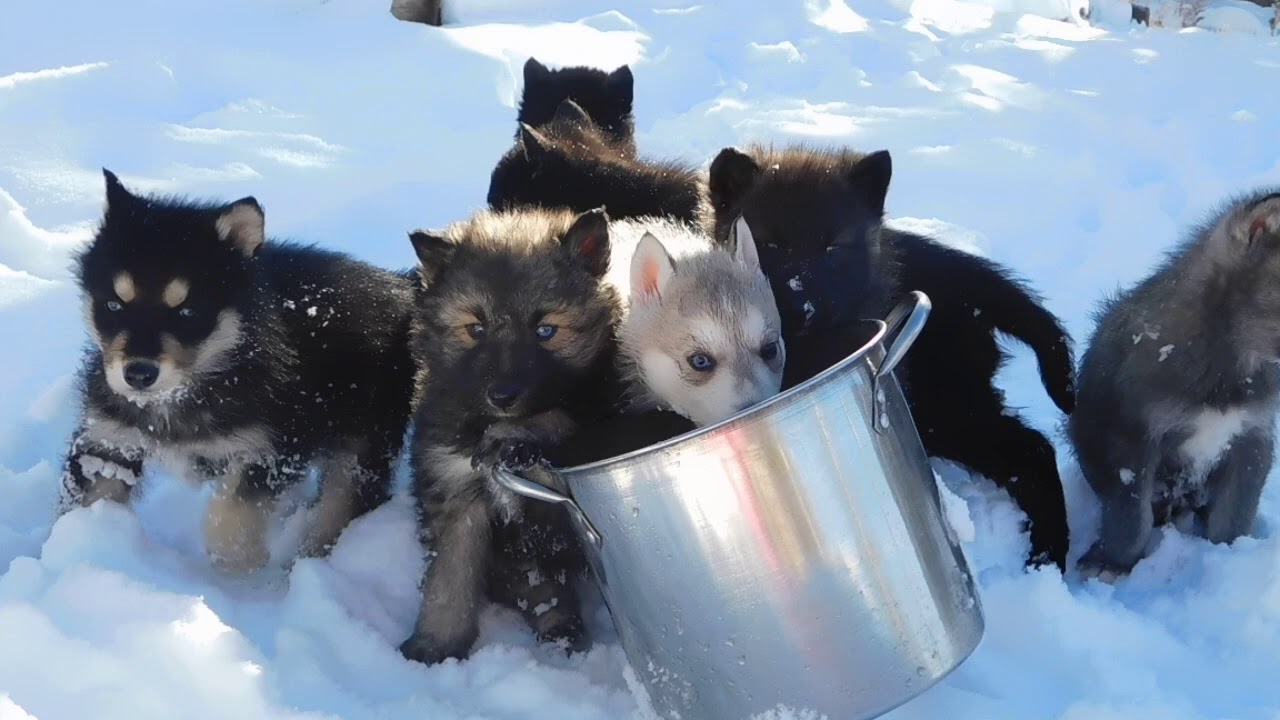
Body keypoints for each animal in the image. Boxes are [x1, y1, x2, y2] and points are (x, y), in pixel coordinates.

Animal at [59, 170, 416, 573]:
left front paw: (235, 573)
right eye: (113, 305)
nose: (138, 375)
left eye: (188, 311)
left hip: (363, 442)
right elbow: (90, 498)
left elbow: (231, 513)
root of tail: (405, 287)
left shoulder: (272, 448)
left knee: (340, 507)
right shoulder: (108, 440)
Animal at [399, 205, 624, 666]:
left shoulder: (599, 422)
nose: (502, 397)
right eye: (476, 329)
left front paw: (512, 435)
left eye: (545, 331)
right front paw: (435, 646)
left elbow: (558, 418)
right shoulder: (457, 497)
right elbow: (448, 582)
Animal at [707, 144, 1076, 572]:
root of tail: (970, 277)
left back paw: (1047, 556)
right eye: (768, 243)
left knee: (1035, 450)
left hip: (948, 404)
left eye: (832, 247)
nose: (800, 309)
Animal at [1069, 189, 1280, 579]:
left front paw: (1229, 559)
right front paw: (1112, 563)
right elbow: (1132, 520)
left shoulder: (1252, 438)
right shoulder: (1133, 443)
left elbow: (1233, 517)